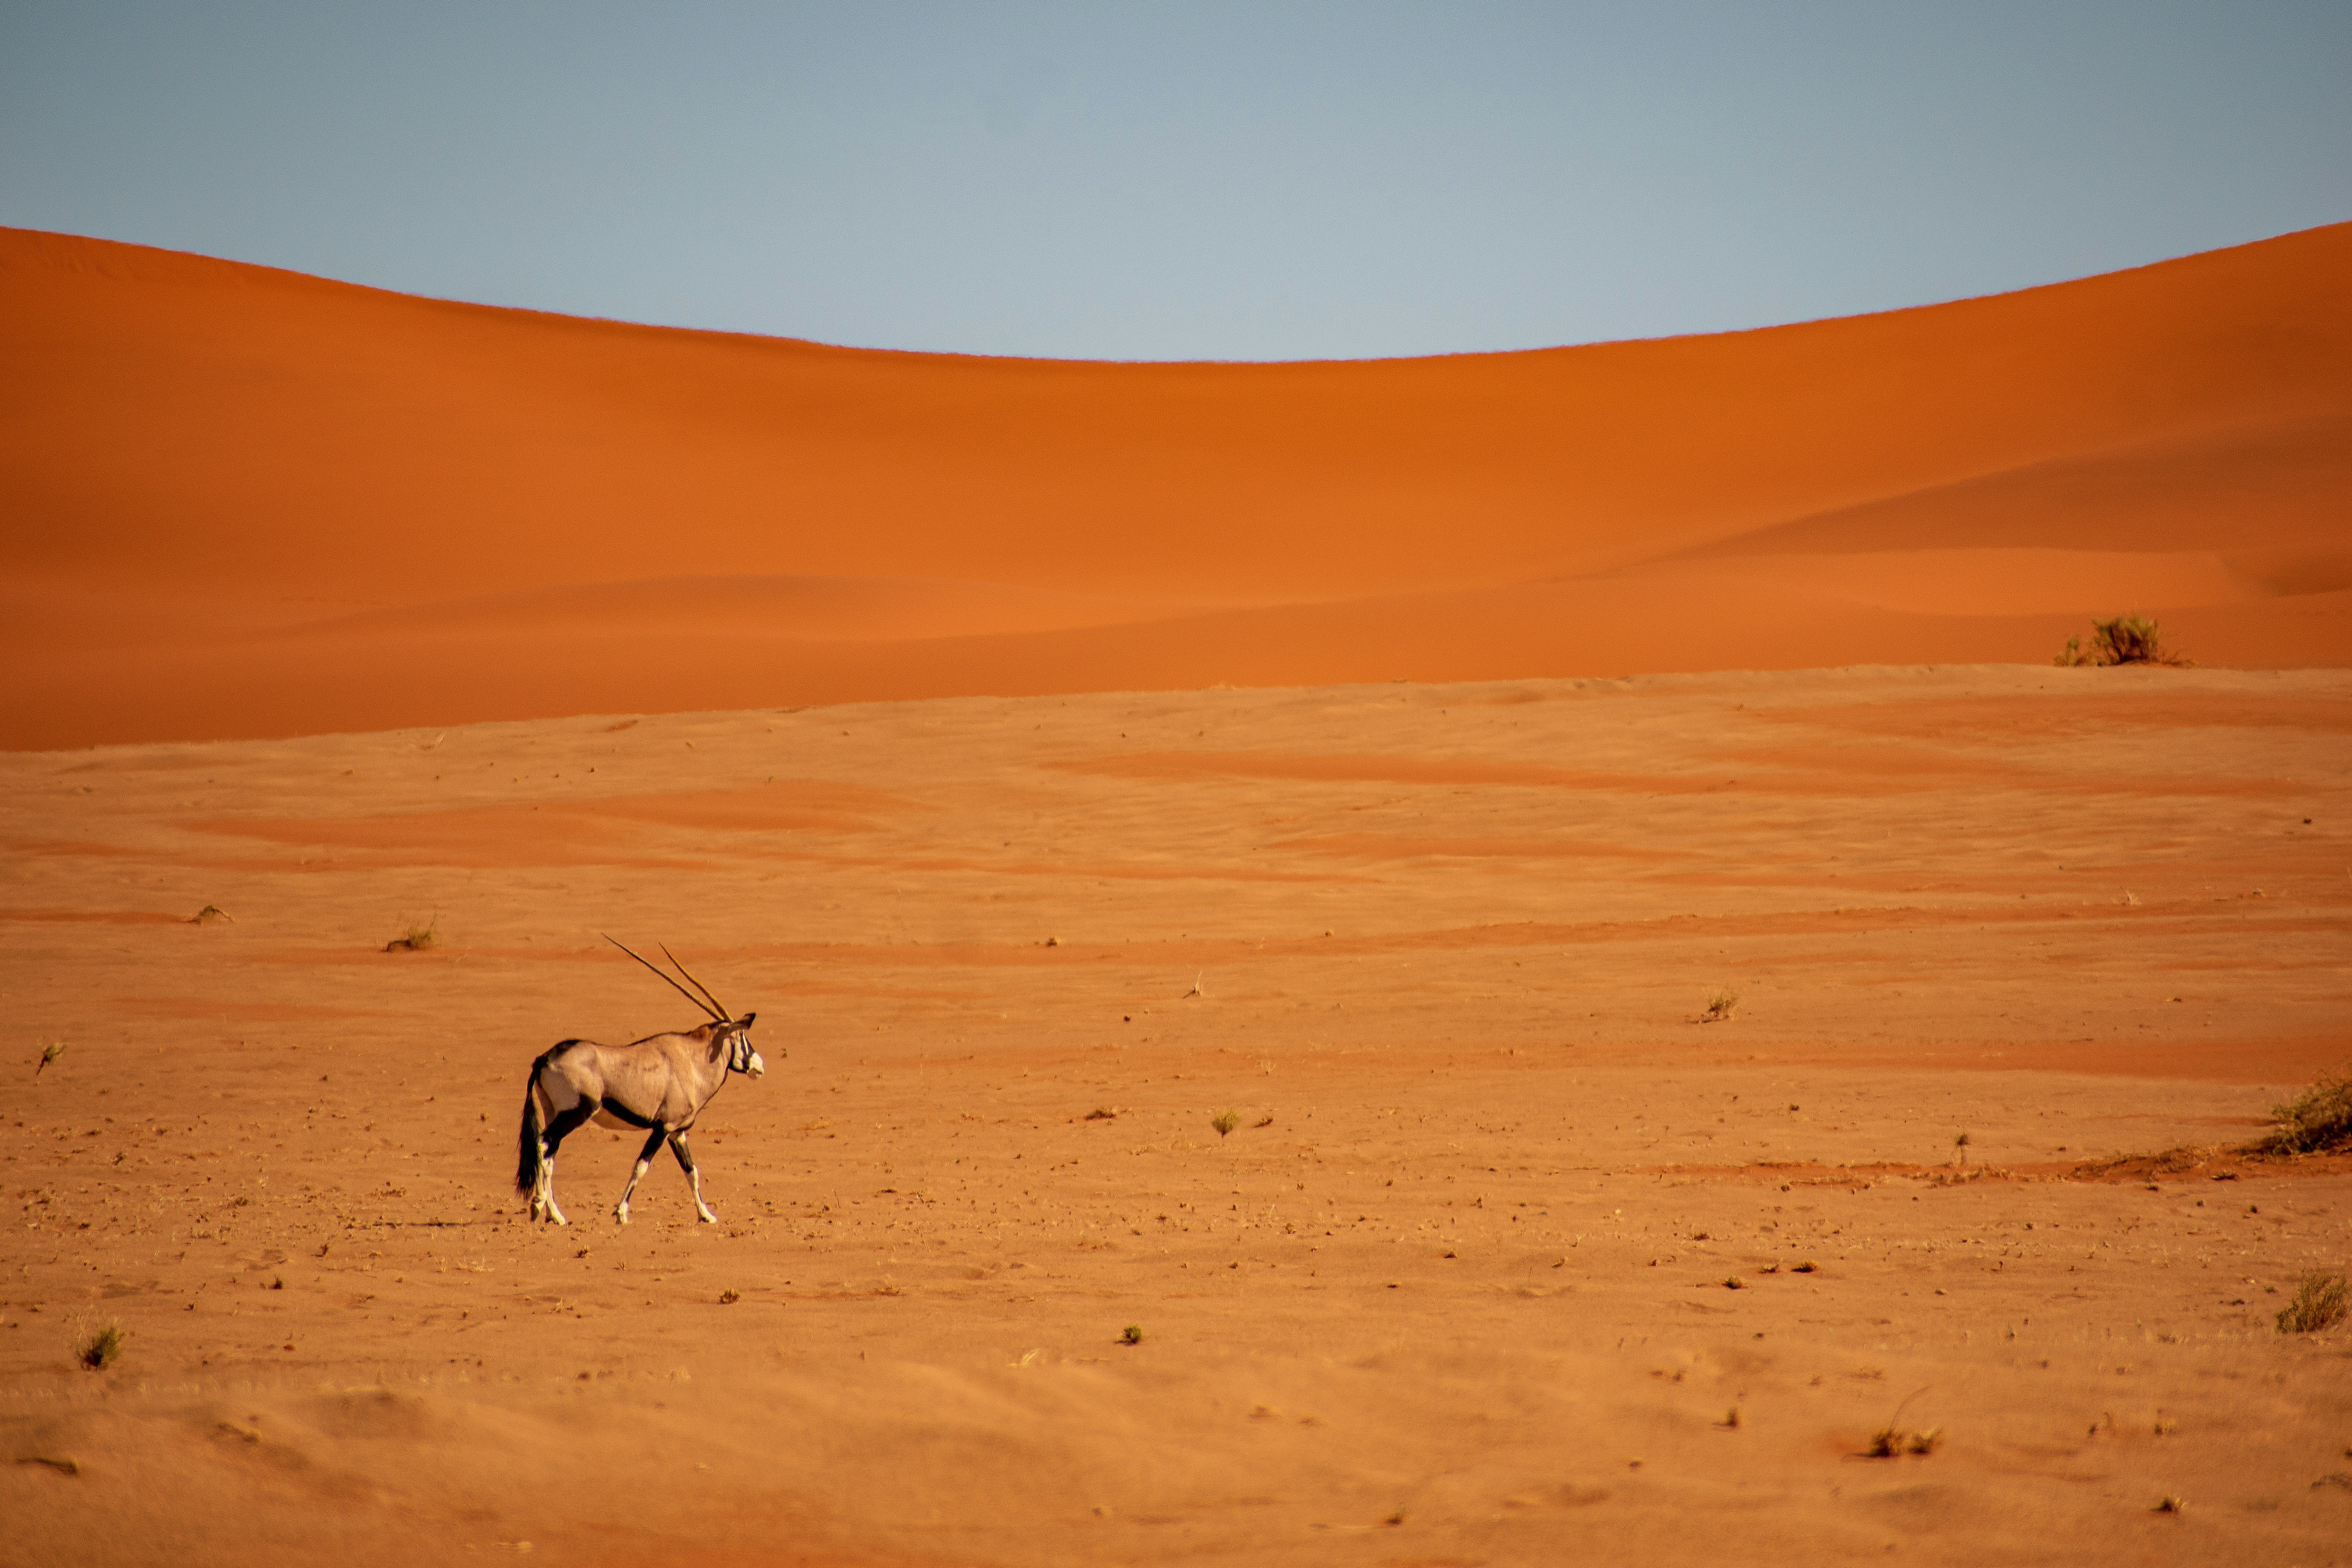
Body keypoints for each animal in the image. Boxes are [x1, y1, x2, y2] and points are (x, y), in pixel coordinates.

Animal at [514, 937, 771, 1226]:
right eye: (742, 1037)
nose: (759, 1066)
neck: (693, 1059)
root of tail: (544, 1058)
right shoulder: (663, 1128)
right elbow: (641, 1167)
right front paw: (621, 1213)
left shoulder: (678, 1132)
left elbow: (692, 1170)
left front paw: (706, 1215)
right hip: (576, 1113)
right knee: (544, 1145)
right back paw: (549, 1210)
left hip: (553, 1112)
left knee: (549, 1153)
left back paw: (548, 1211)